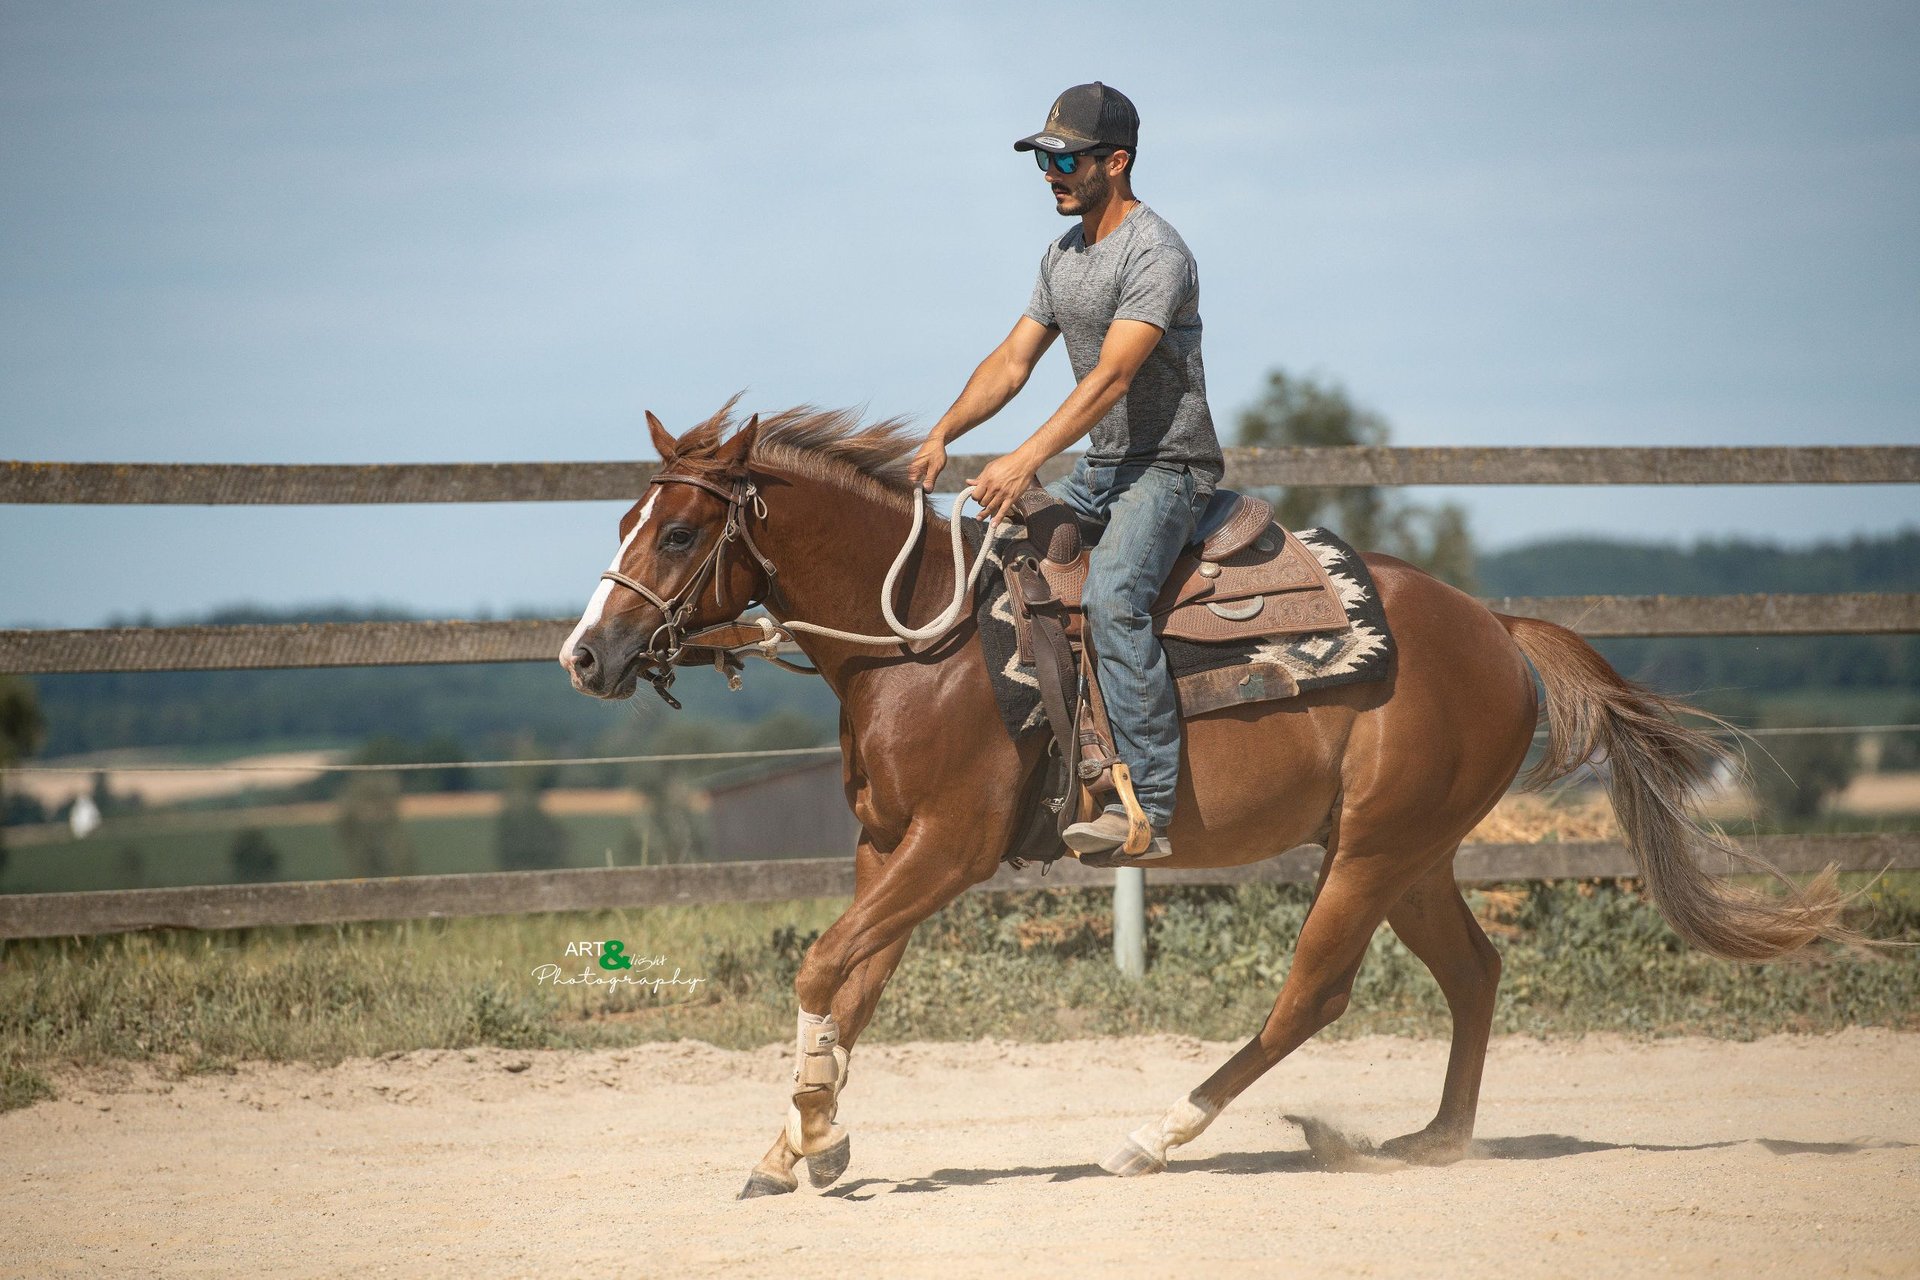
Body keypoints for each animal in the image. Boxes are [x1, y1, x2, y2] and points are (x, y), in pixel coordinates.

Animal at [560, 403, 1855, 1198]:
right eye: (626, 520)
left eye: (680, 529)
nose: (586, 654)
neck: (923, 633)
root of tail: (1495, 626)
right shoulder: (887, 848)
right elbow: (855, 985)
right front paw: (800, 1140)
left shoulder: (952, 847)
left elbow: (826, 966)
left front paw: (813, 1131)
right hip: (1412, 851)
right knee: (1475, 971)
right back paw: (1435, 1138)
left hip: (1372, 852)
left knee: (1312, 993)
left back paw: (1156, 1133)